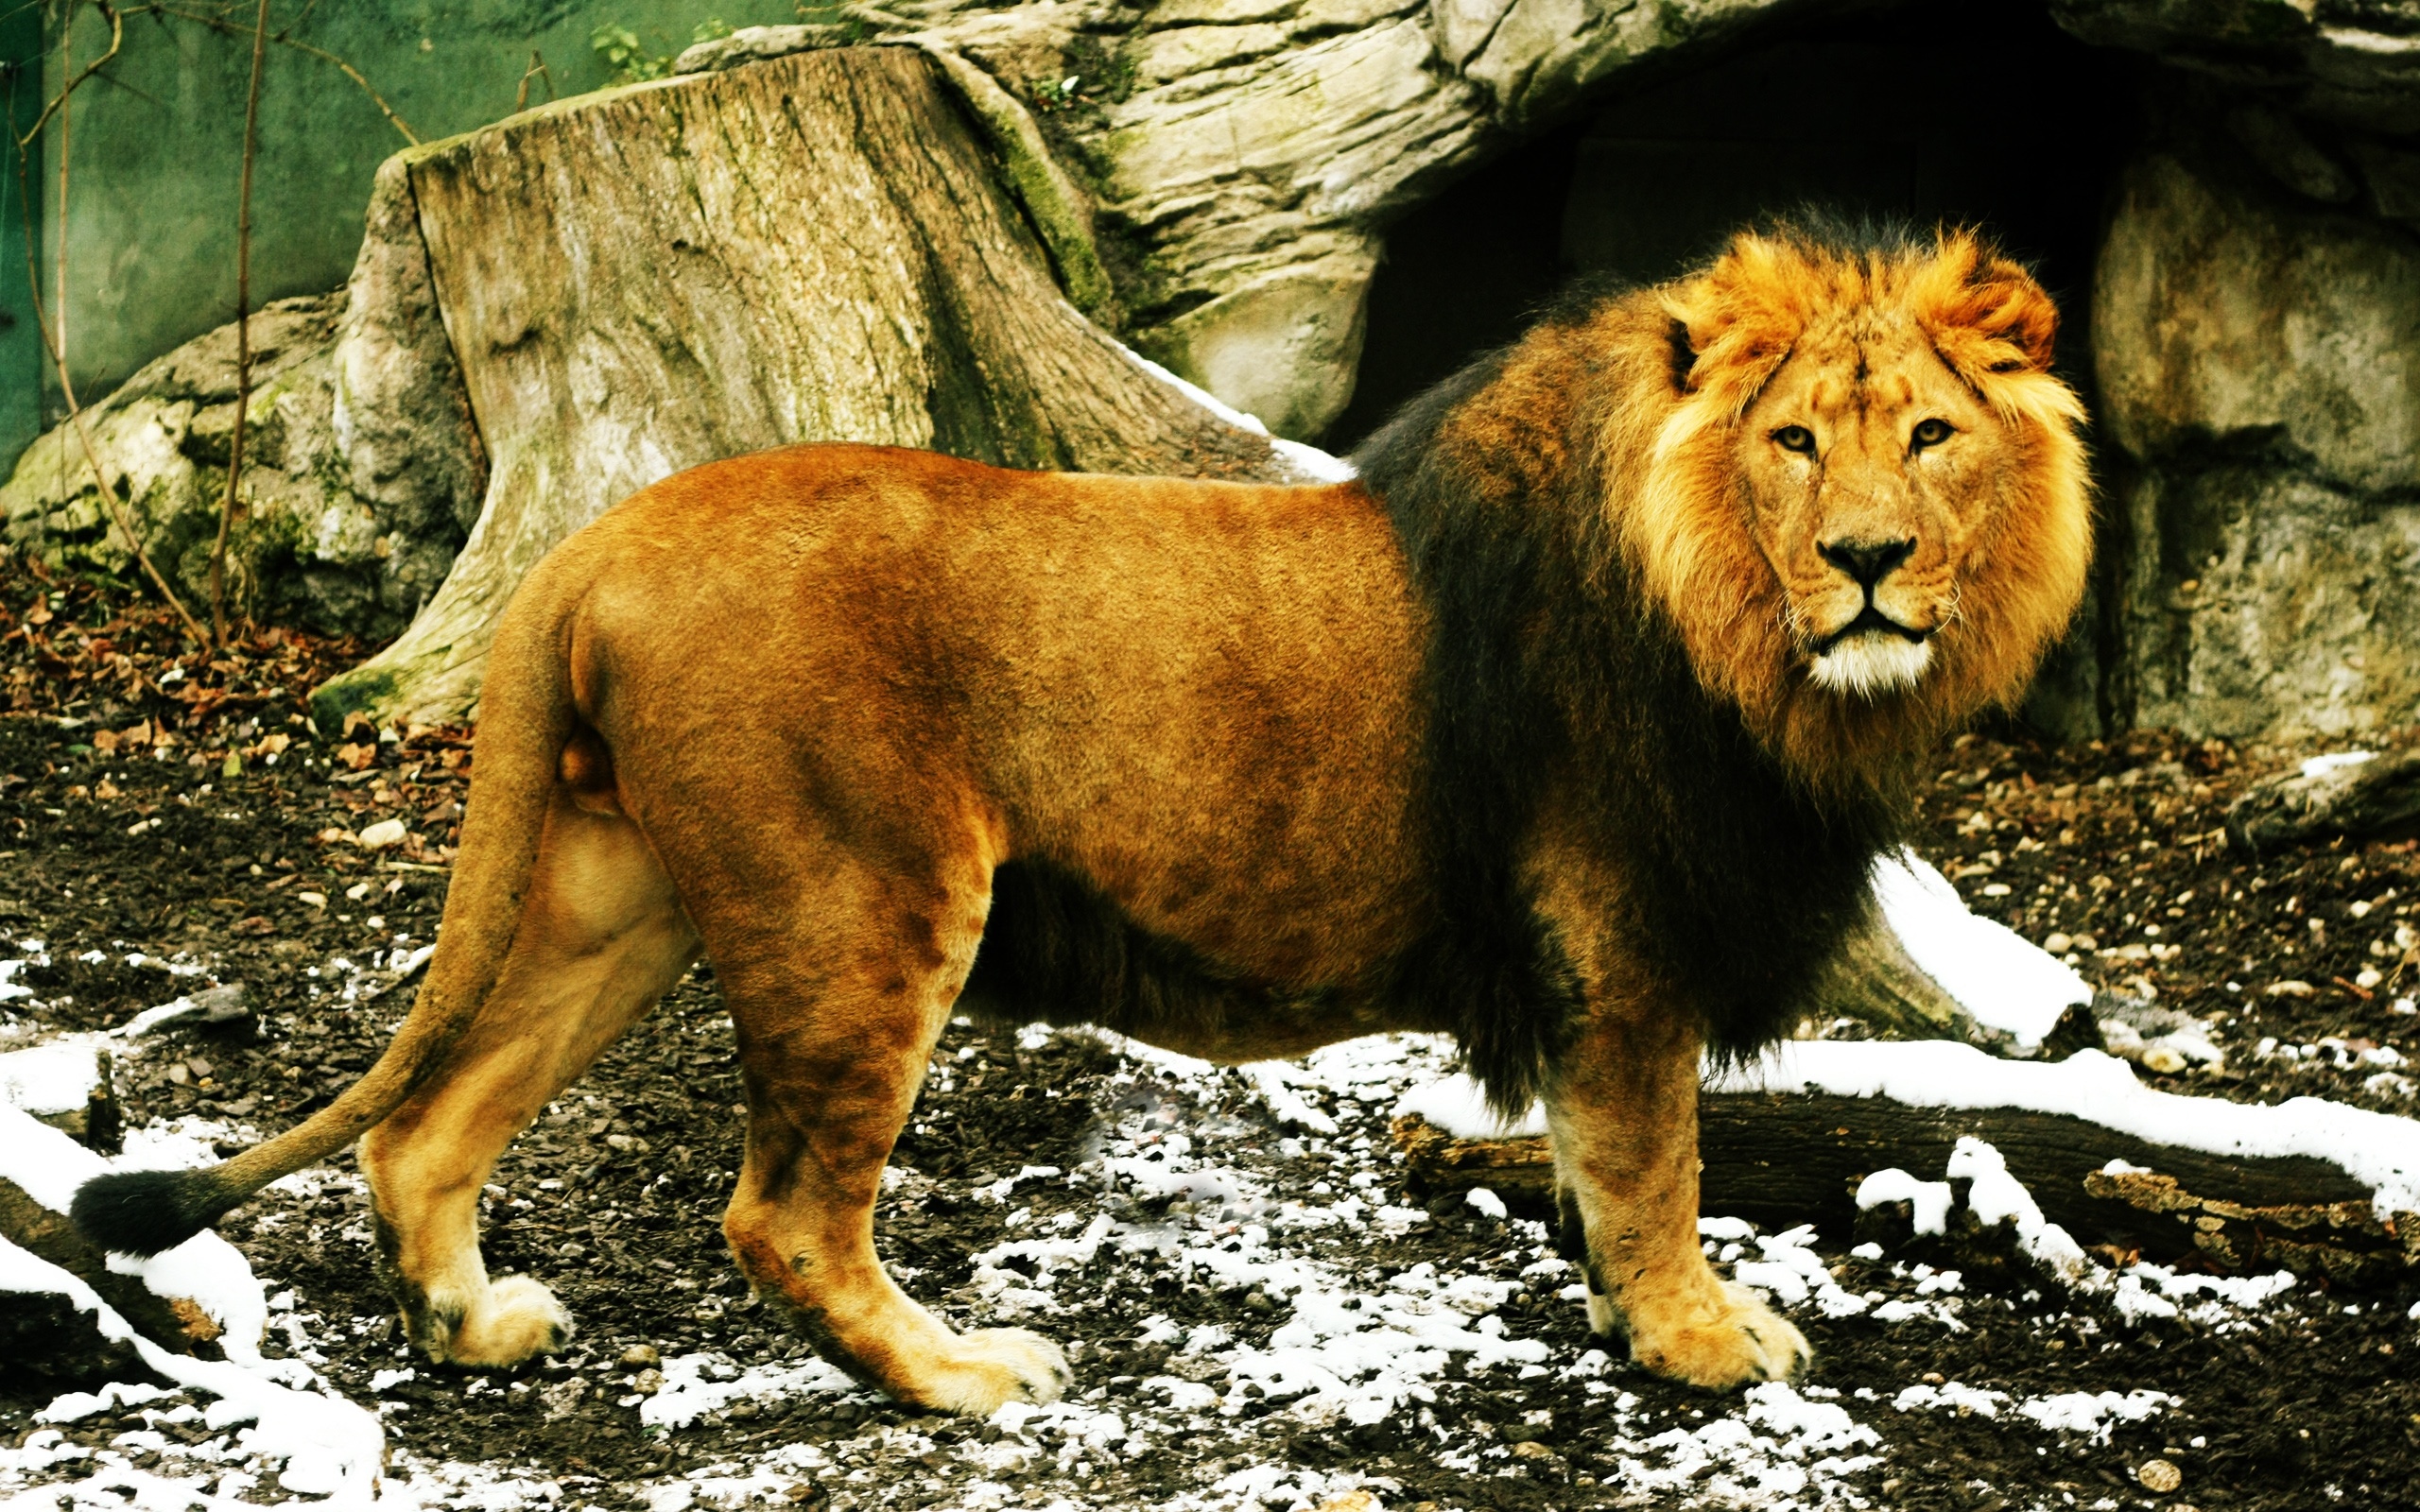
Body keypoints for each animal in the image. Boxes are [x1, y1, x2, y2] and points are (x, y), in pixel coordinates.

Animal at [73, 222, 2090, 1415]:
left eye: (1927, 437)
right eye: (1793, 443)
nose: (1870, 564)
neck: (1745, 637)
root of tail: (598, 537)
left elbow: (1606, 1172)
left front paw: (1638, 1321)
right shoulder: (1616, 927)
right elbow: (1654, 1162)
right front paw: (1701, 1348)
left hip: (615, 889)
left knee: (431, 1124)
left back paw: (471, 1323)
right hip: (864, 903)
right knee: (781, 1215)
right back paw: (960, 1376)